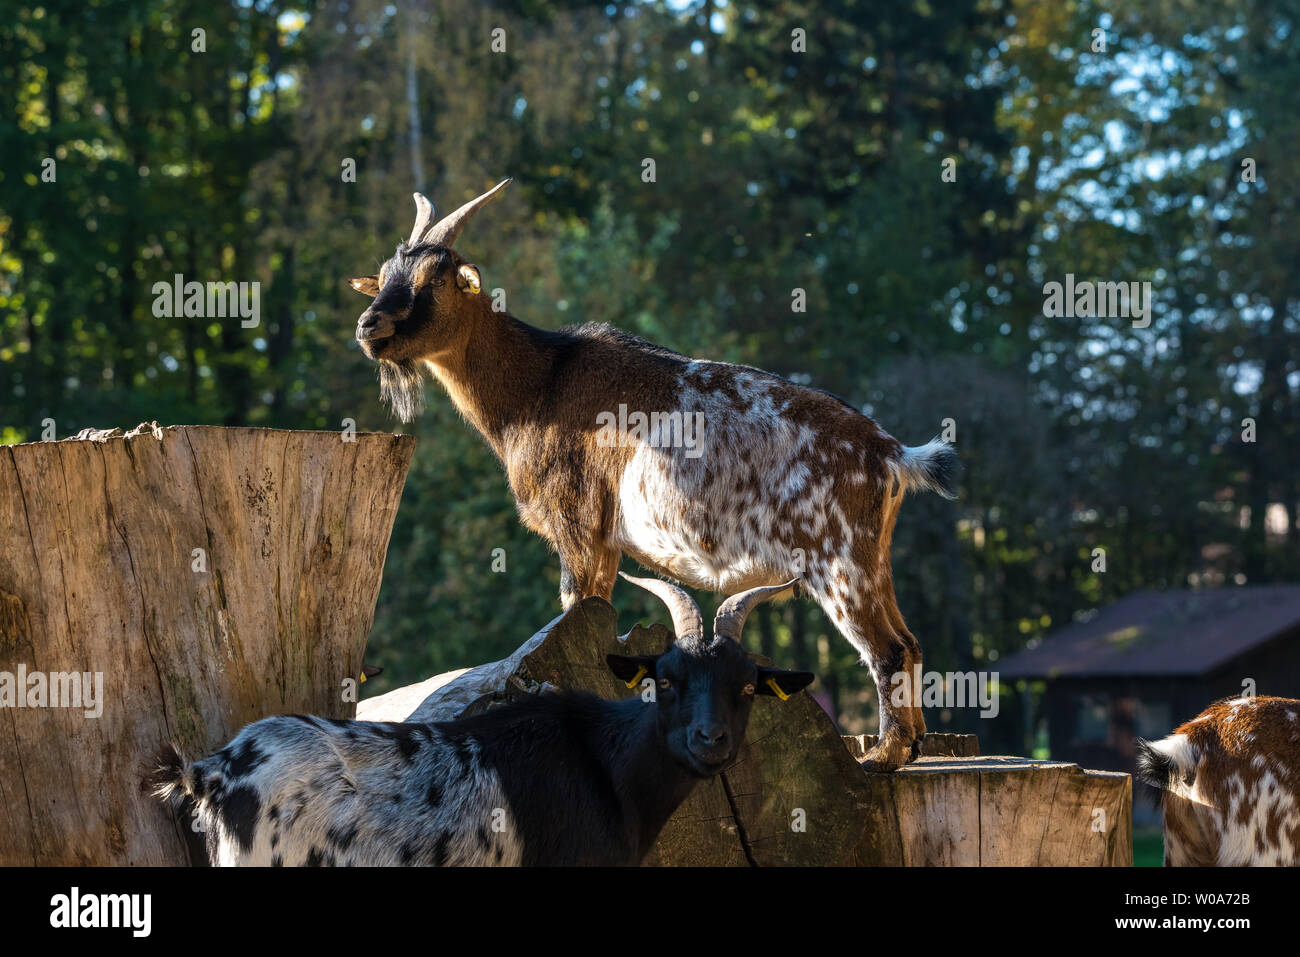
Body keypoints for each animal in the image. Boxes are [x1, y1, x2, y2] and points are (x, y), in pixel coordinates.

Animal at [348, 179, 958, 770]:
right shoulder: (605, 539)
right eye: (383, 275)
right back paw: (915, 744)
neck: (539, 385)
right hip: (872, 561)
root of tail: (892, 454)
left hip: (838, 563)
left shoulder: (577, 524)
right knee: (911, 641)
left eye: (436, 279)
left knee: (887, 648)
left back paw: (884, 755)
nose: (369, 326)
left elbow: (578, 604)